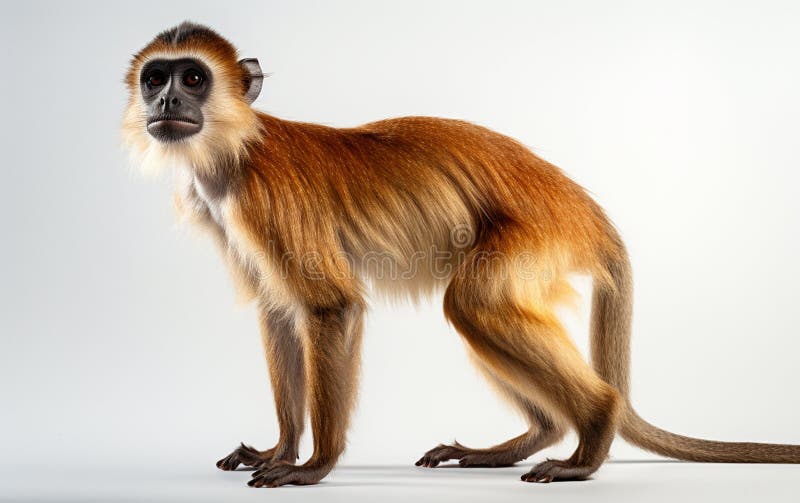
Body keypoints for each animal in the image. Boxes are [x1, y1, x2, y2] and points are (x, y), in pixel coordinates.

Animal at [122, 22, 800, 488]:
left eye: (193, 78)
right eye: (157, 77)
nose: (164, 102)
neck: (237, 146)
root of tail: (582, 207)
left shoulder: (261, 195)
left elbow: (330, 307)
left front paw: (315, 465)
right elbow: (280, 313)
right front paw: (279, 450)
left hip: (534, 237)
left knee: (473, 305)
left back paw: (588, 444)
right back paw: (527, 441)